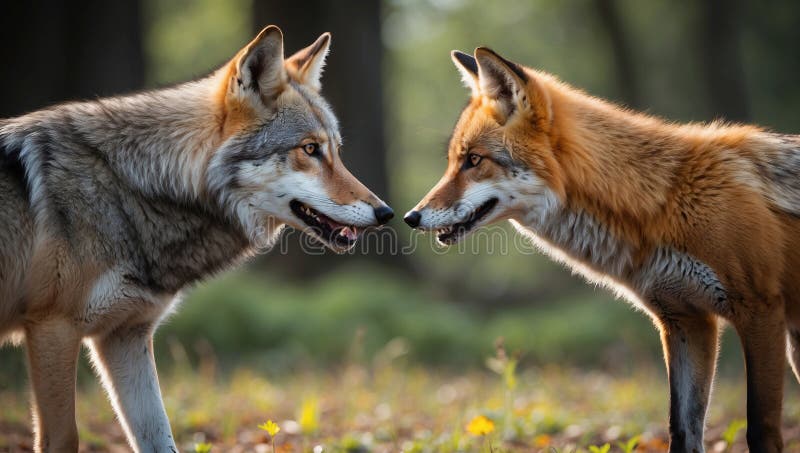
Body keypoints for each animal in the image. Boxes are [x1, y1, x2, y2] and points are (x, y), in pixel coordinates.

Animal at [0, 25, 393, 452]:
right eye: (310, 149)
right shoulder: (52, 328)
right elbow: (64, 437)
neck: (132, 186)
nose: (386, 213)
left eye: (336, 151)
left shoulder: (124, 337)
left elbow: (160, 438)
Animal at [404, 47, 800, 453]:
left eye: (474, 160)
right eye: (454, 160)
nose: (410, 217)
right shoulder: (686, 321)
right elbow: (682, 430)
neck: (662, 202)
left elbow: (761, 427)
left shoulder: (760, 312)